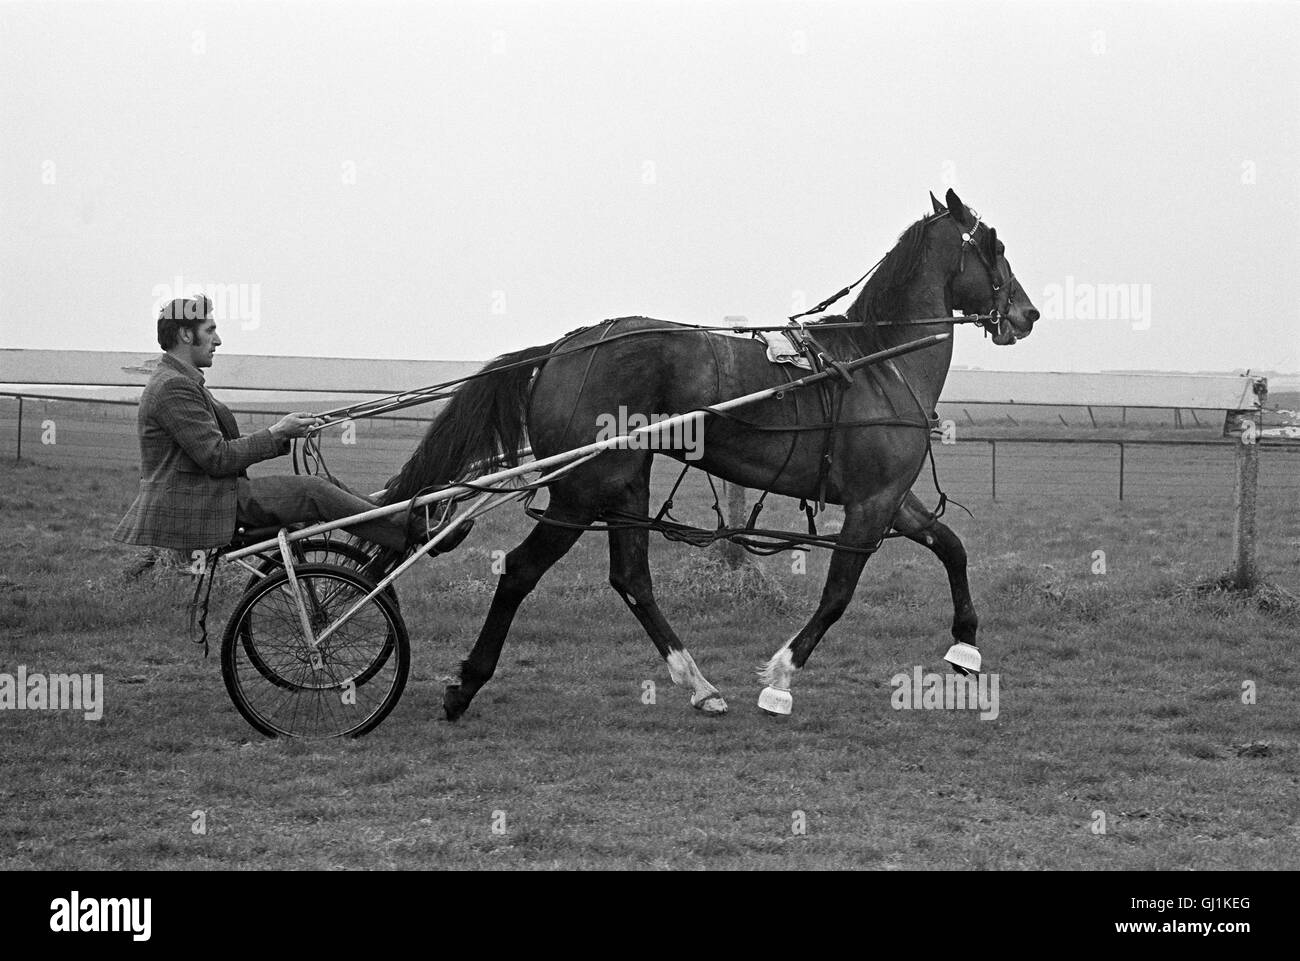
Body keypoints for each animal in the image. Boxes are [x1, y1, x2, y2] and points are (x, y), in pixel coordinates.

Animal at [383, 188, 1039, 720]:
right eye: (997, 246)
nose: (1027, 313)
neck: (878, 363)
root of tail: (567, 347)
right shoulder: (871, 504)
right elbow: (837, 596)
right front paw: (780, 679)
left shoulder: (889, 498)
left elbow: (950, 547)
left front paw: (966, 645)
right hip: (581, 490)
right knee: (522, 571)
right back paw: (467, 684)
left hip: (623, 483)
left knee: (631, 579)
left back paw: (697, 684)